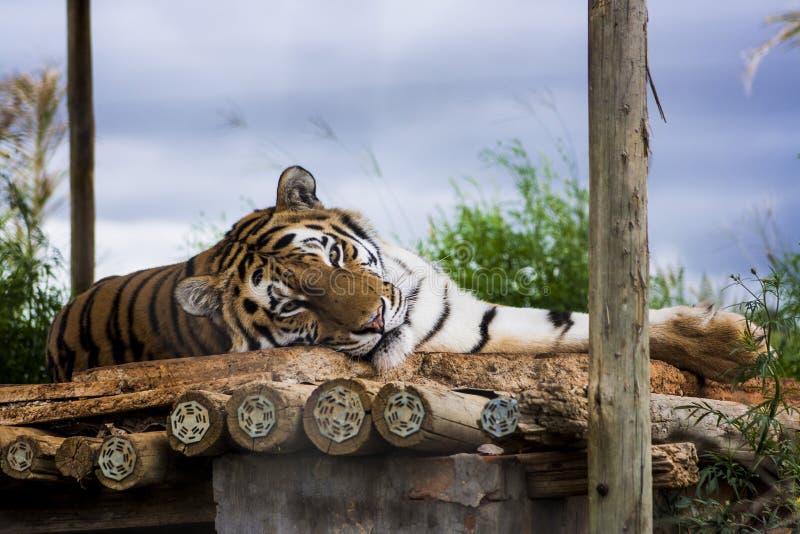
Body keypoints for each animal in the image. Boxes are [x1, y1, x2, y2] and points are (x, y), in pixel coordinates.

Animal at [46, 166, 758, 382]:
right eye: (291, 306)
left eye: (333, 258)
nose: (376, 320)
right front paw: (738, 348)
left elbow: (584, 322)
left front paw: (732, 343)